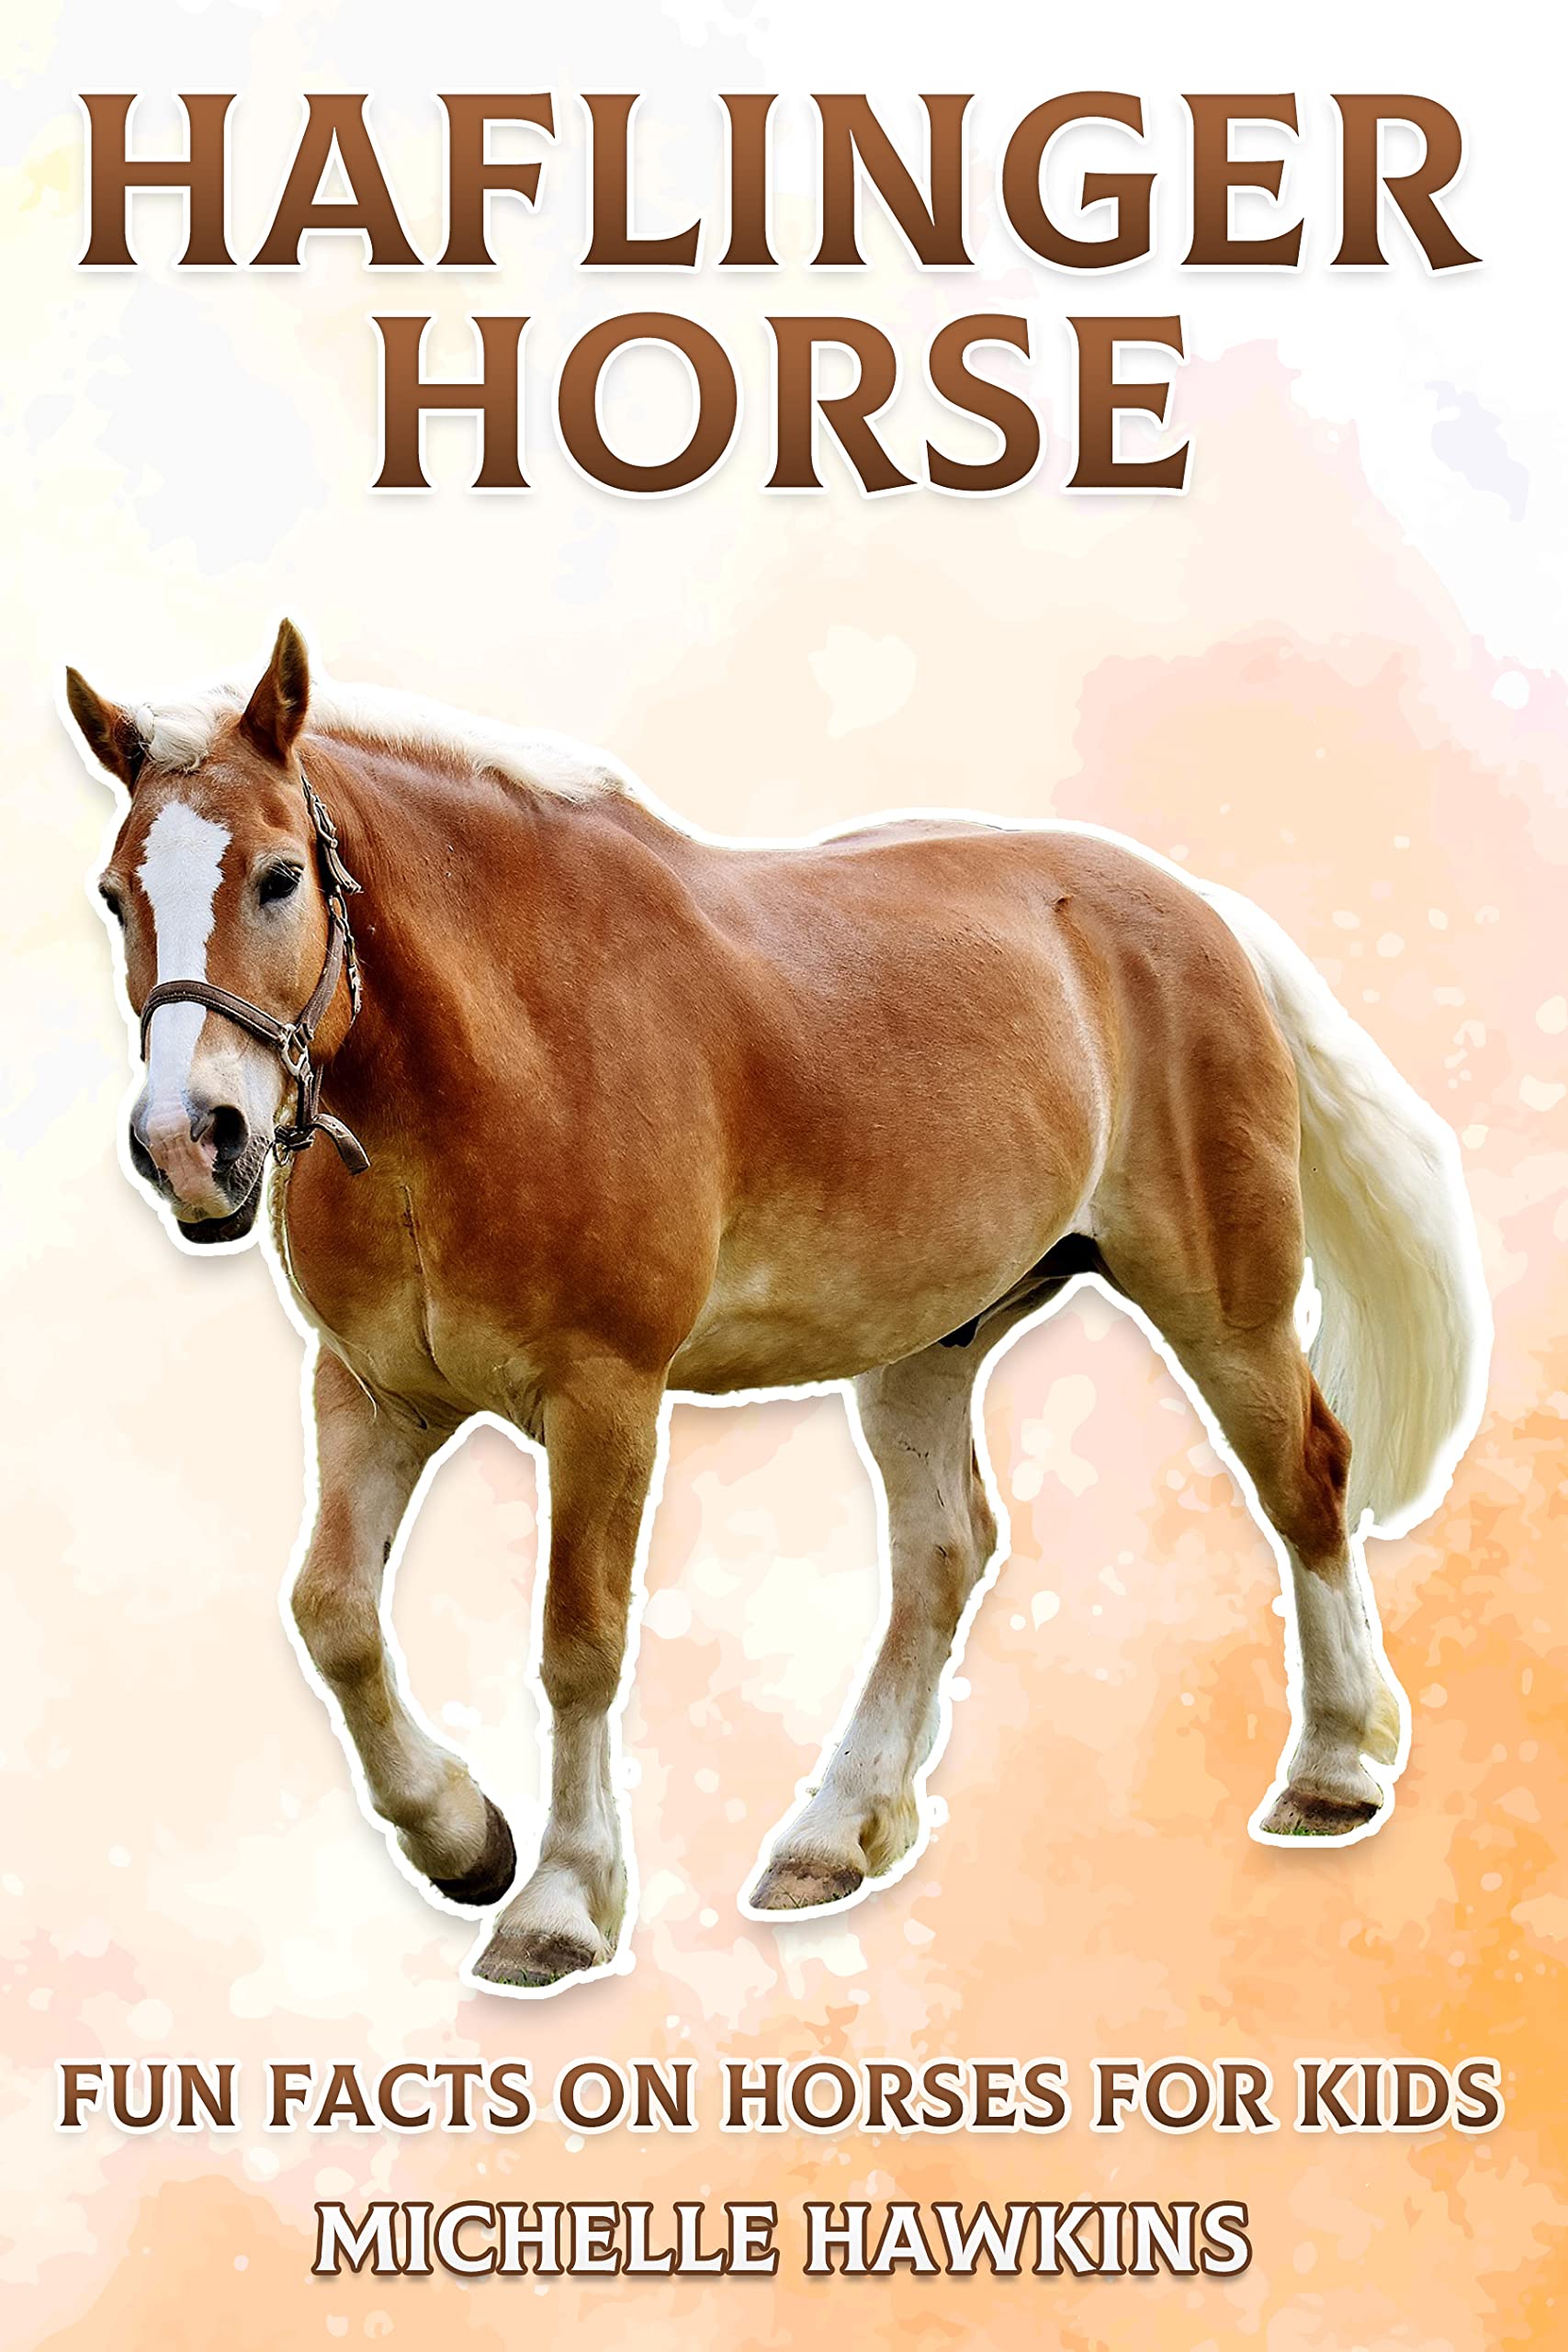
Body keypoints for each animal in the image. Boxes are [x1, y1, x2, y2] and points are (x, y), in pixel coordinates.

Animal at [68, 621, 1489, 1994]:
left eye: (277, 876)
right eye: (115, 893)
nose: (193, 1141)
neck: (489, 1059)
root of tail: (1201, 910)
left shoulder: (606, 1396)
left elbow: (578, 1641)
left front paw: (560, 1905)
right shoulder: (375, 1395)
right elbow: (333, 1617)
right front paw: (463, 1838)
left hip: (1220, 1301)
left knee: (1303, 1477)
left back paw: (1331, 1773)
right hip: (928, 1341)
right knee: (944, 1553)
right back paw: (835, 1835)